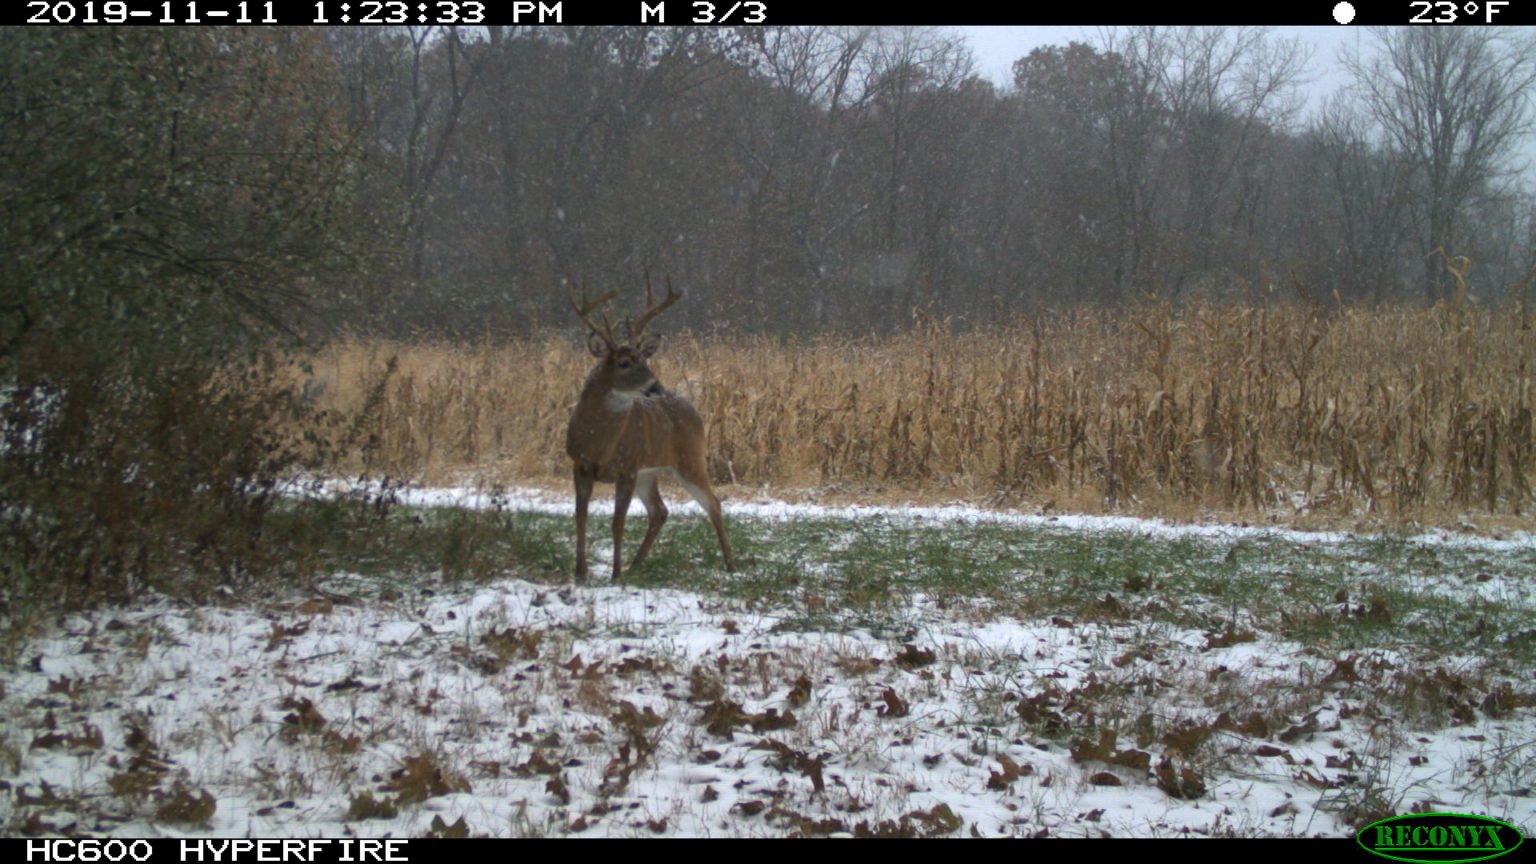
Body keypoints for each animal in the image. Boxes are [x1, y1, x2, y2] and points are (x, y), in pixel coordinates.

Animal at [565, 276, 734, 582]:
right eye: (623, 362)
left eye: (645, 360)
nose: (656, 386)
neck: (599, 445)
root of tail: (693, 408)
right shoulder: (580, 464)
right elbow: (580, 516)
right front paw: (580, 573)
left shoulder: (627, 467)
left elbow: (618, 521)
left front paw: (615, 574)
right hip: (649, 470)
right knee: (660, 511)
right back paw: (636, 565)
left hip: (689, 459)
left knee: (713, 502)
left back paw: (730, 564)